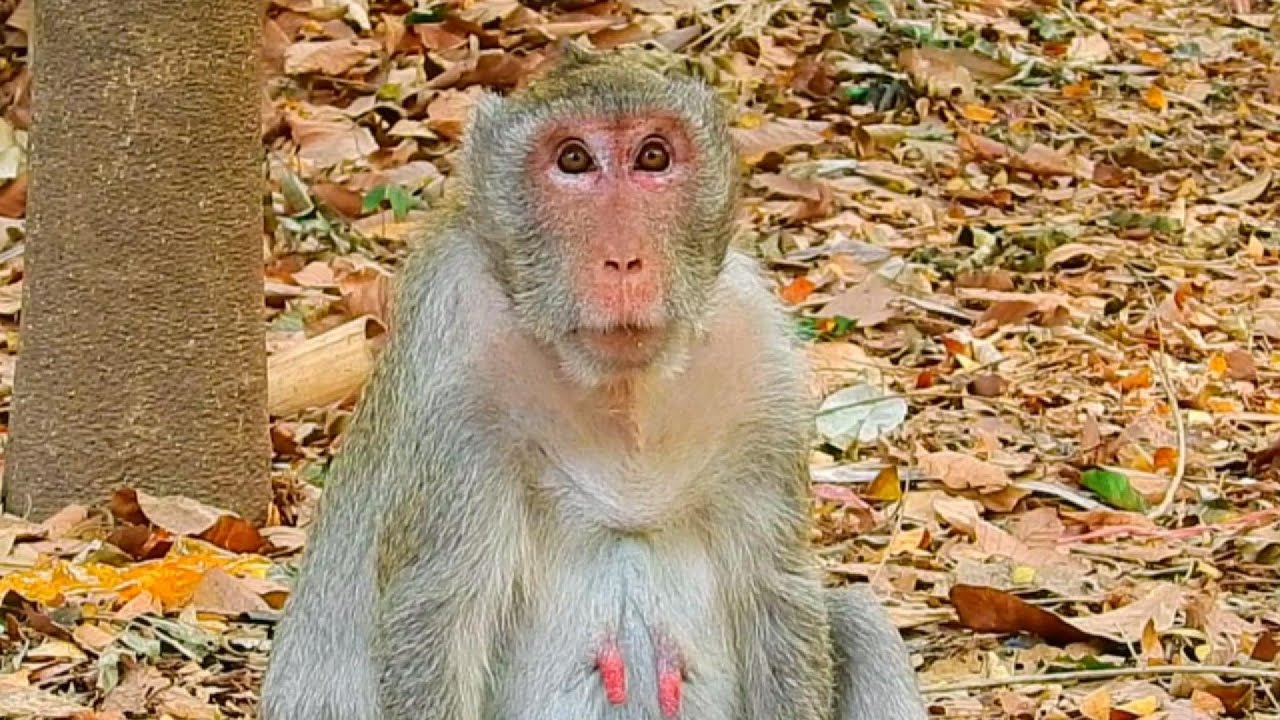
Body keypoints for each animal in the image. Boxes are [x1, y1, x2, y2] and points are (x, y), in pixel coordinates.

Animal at [258, 47, 926, 720]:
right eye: (573, 160)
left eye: (653, 157)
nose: (624, 260)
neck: (619, 391)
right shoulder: (452, 365)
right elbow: (436, 614)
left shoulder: (757, 357)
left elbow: (777, 592)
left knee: (858, 617)